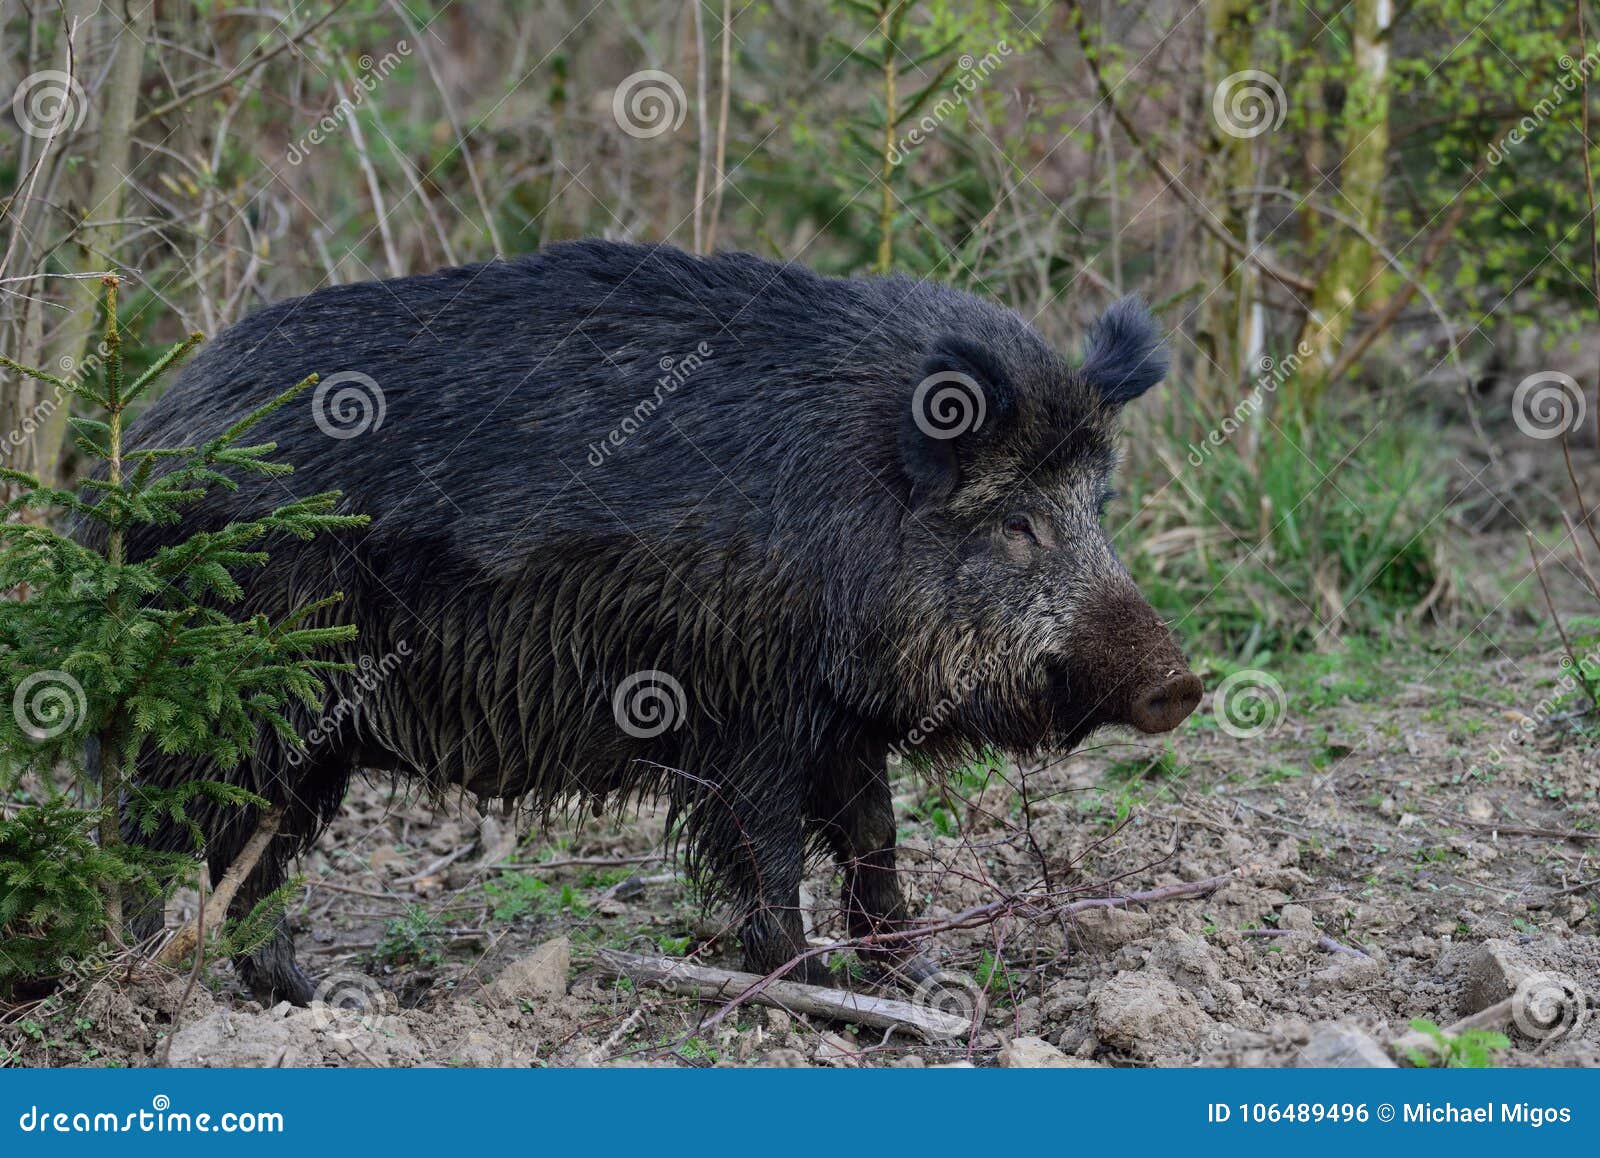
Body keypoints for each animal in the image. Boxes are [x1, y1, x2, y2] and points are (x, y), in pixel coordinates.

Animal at [113, 240, 1201, 1002]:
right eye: (1016, 521)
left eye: (1096, 506)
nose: (1181, 684)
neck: (855, 503)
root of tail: (150, 440)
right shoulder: (747, 716)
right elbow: (769, 853)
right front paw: (808, 985)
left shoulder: (838, 722)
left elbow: (874, 842)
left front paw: (915, 978)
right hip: (238, 689)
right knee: (148, 830)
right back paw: (143, 982)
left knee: (243, 857)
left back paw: (300, 996)